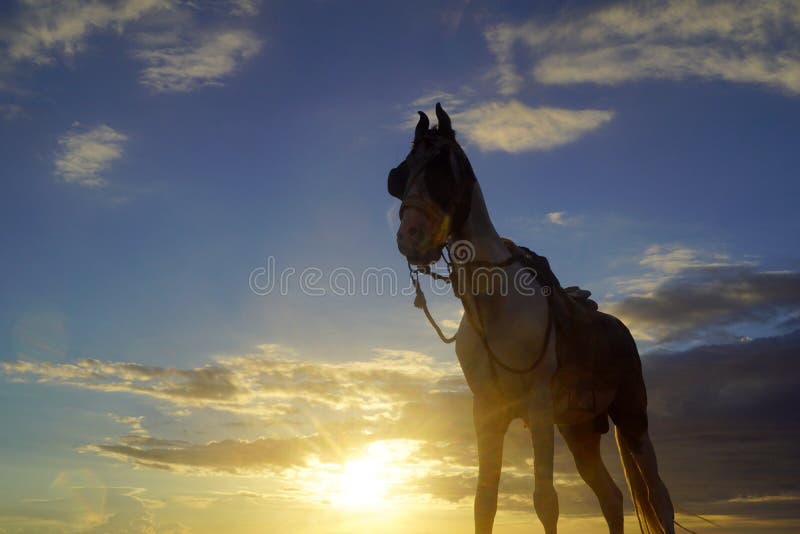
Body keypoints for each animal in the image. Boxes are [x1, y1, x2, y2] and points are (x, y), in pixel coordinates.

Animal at [387, 103, 675, 534]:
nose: (411, 236)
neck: (493, 306)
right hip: (579, 431)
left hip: (632, 418)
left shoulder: (539, 408)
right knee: (611, 496)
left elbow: (546, 501)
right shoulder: (486, 414)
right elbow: (484, 503)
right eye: (402, 174)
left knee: (659, 497)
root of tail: (619, 328)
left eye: (442, 167)